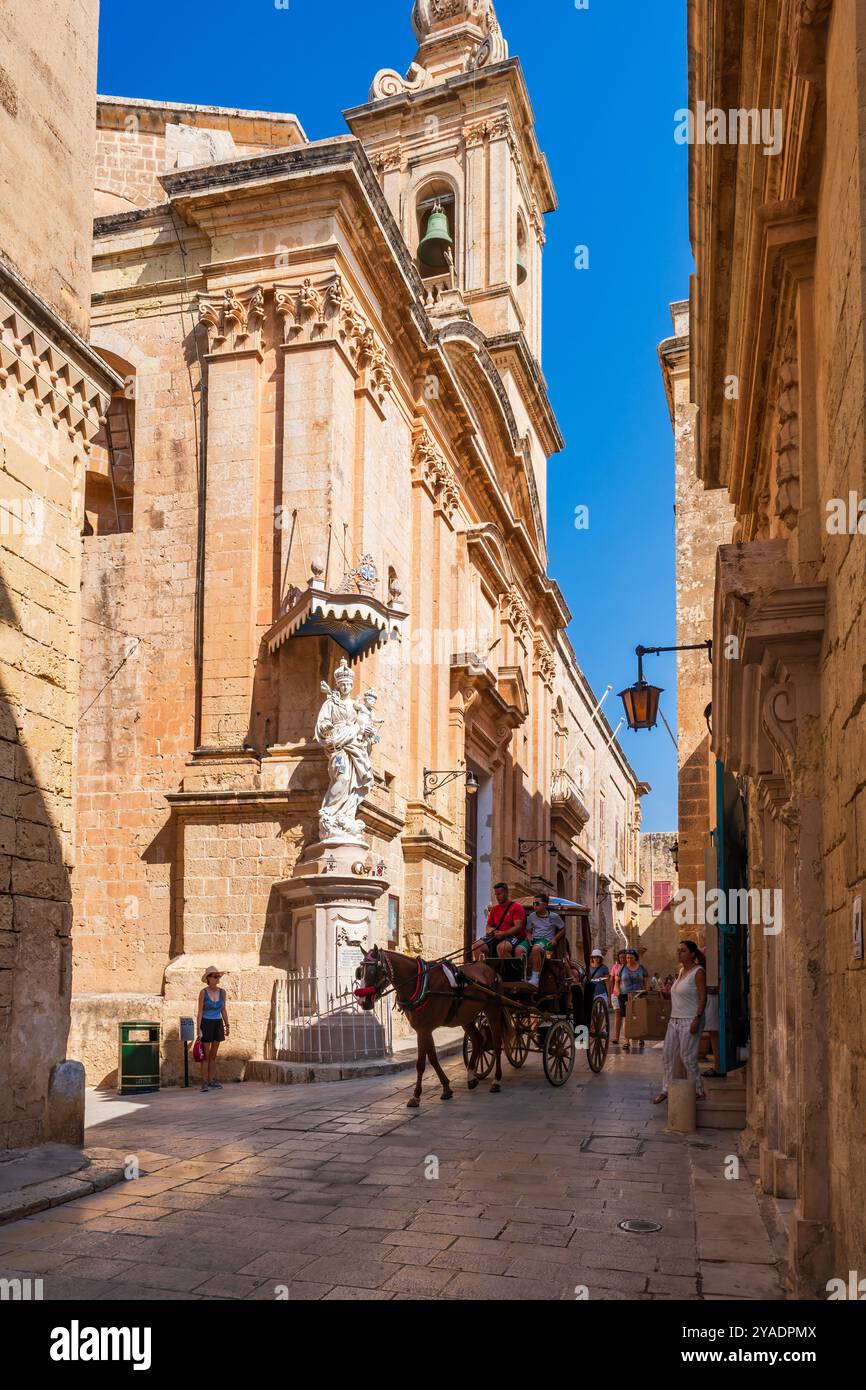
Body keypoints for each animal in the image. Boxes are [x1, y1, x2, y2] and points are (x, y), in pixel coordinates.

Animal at [355, 945, 505, 1107]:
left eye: (373, 971)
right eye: (360, 972)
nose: (363, 1002)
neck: (419, 982)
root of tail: (489, 968)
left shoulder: (424, 1029)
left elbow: (421, 1063)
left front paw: (416, 1095)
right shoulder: (422, 1030)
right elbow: (432, 1058)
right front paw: (446, 1088)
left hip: (493, 1010)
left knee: (497, 1044)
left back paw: (496, 1081)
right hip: (467, 1017)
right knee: (478, 1040)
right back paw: (471, 1077)